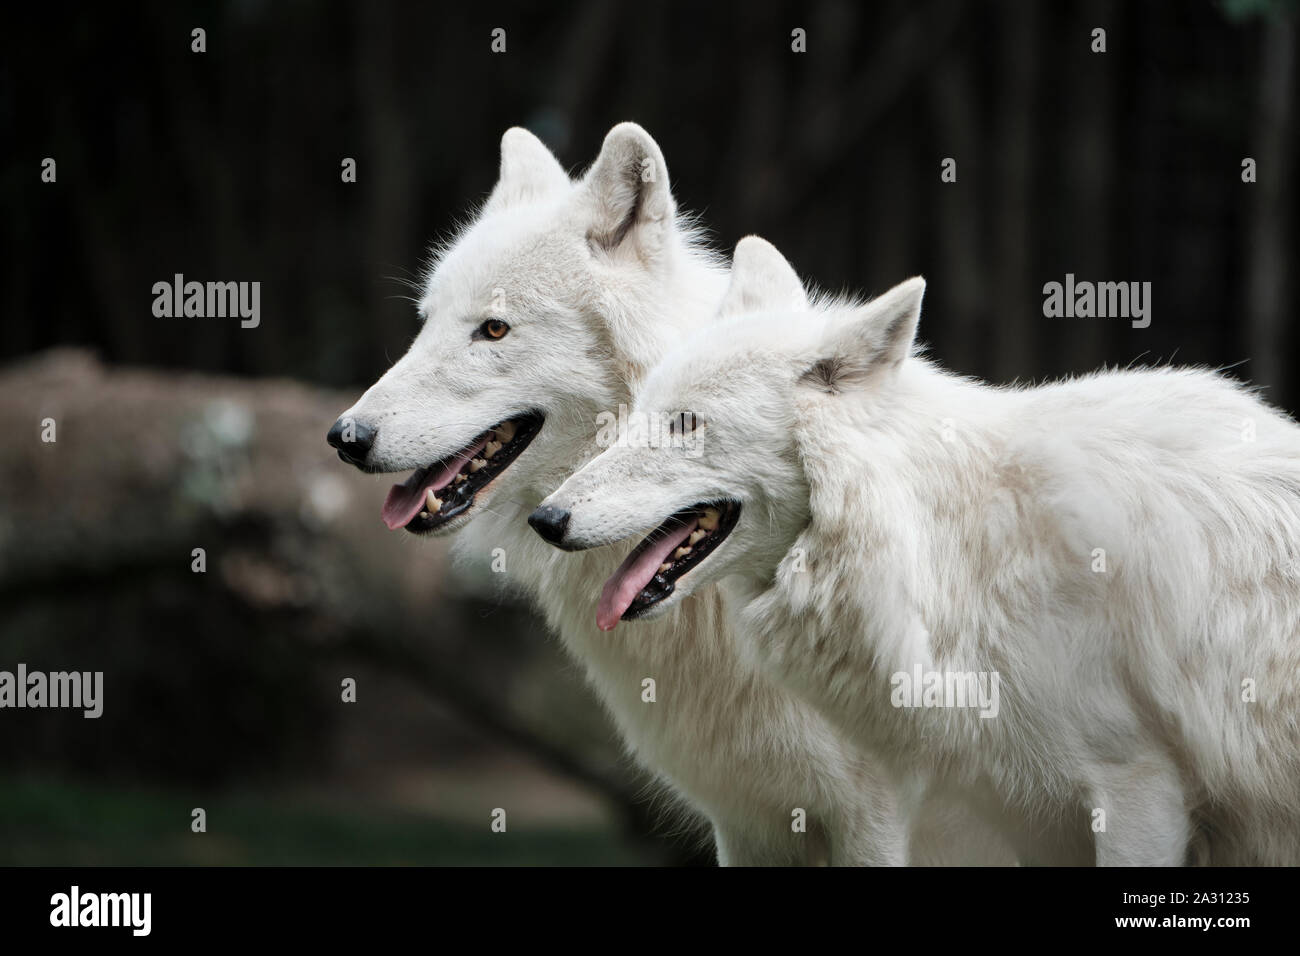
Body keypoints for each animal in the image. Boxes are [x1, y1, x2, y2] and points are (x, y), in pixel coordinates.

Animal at [534, 234, 1300, 865]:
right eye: (639, 415)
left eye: (686, 424)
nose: (548, 518)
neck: (941, 555)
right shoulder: (1029, 818)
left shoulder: (1136, 793)